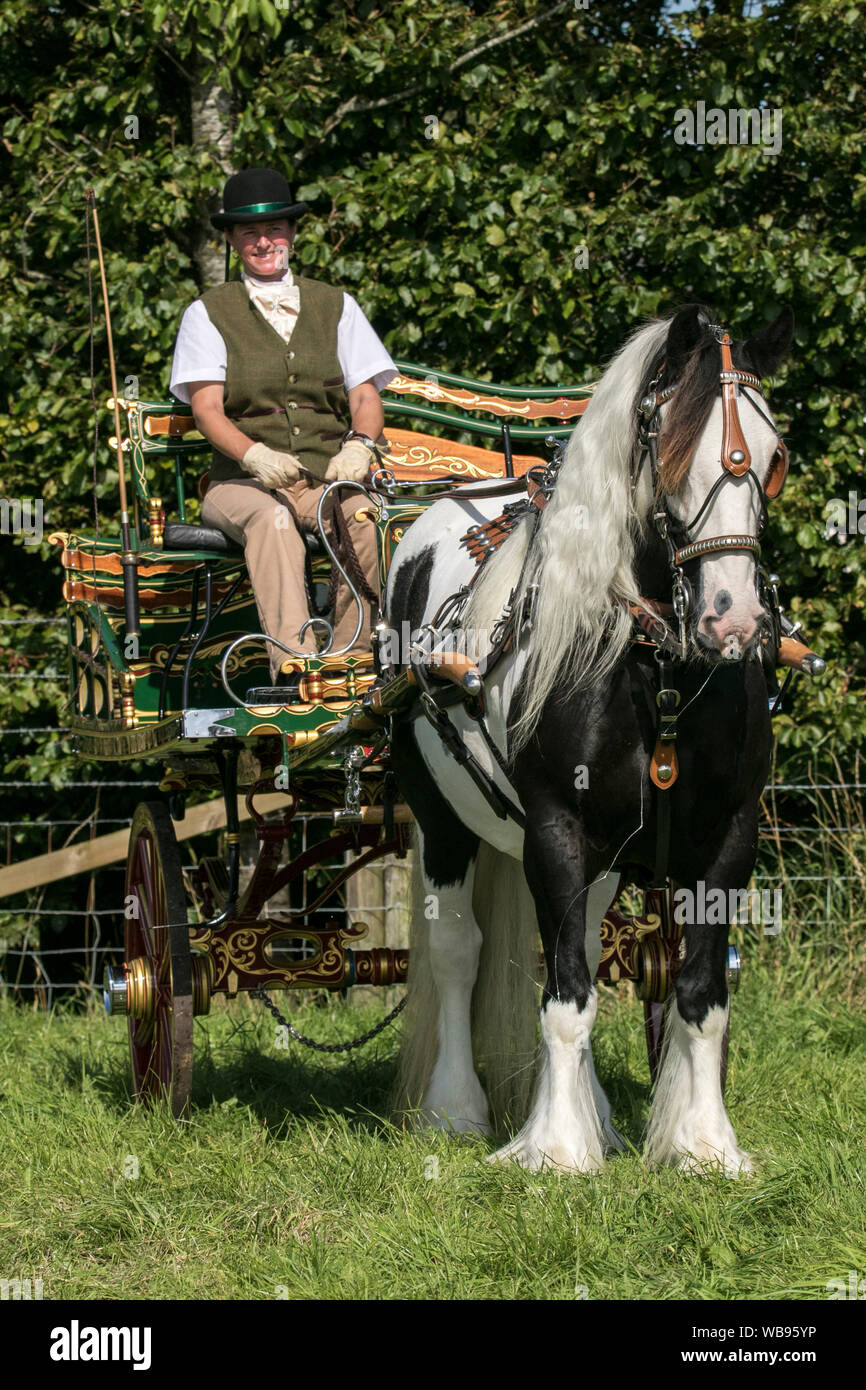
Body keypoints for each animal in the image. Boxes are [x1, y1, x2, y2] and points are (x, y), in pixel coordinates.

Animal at [384, 302, 794, 1174]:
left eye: (774, 458)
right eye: (667, 448)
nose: (735, 619)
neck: (654, 671)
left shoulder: (728, 837)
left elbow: (700, 997)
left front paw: (702, 1144)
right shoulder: (555, 828)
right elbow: (564, 992)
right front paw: (558, 1152)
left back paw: (594, 1114)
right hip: (442, 815)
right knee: (460, 953)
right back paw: (455, 1111)